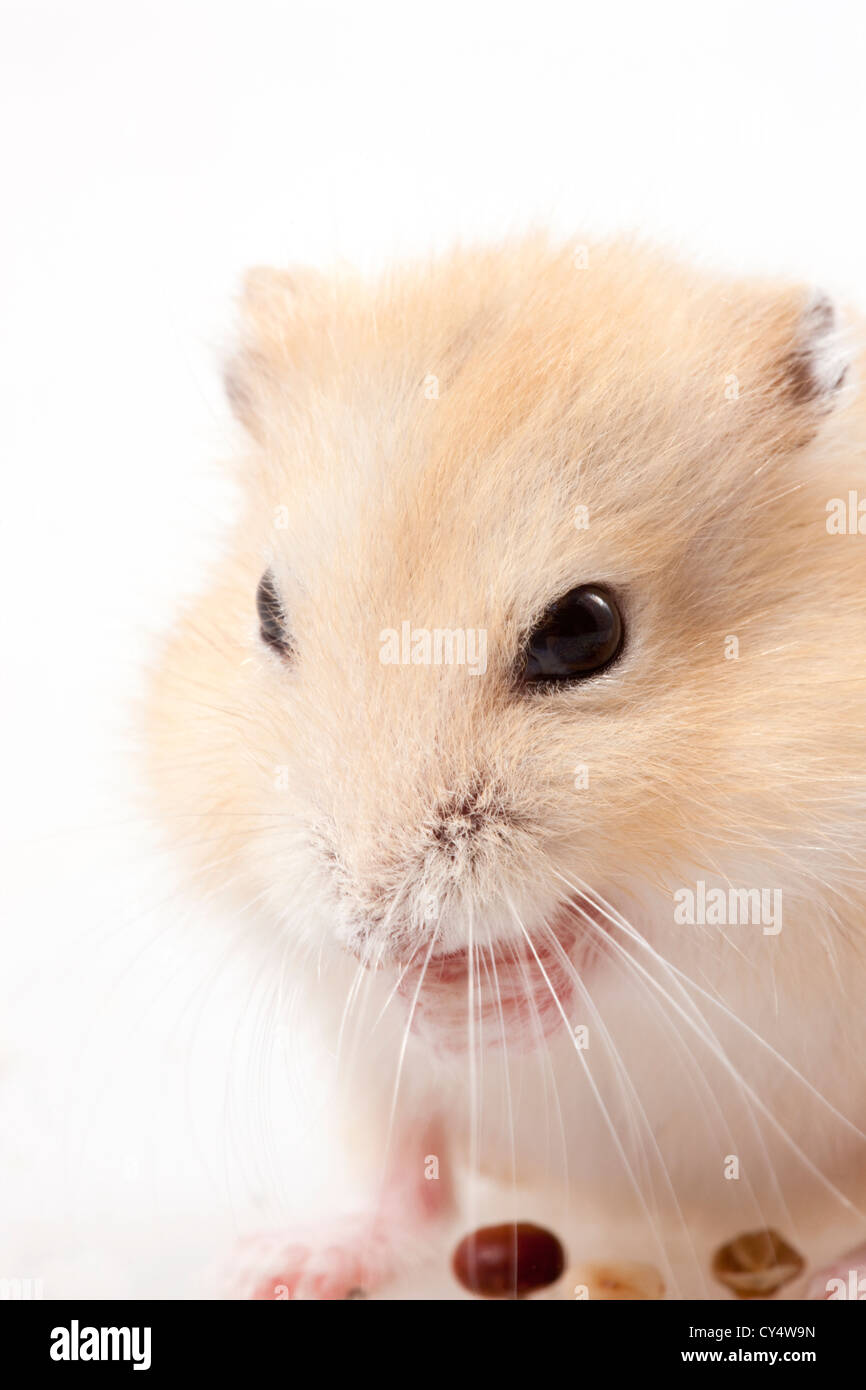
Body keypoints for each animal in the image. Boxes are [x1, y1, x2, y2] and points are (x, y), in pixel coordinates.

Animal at [146, 236, 866, 1299]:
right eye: (267, 611)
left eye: (583, 630)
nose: (374, 926)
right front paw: (415, 990)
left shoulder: (792, 884)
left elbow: (624, 932)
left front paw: (489, 989)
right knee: (409, 1179)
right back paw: (286, 1263)